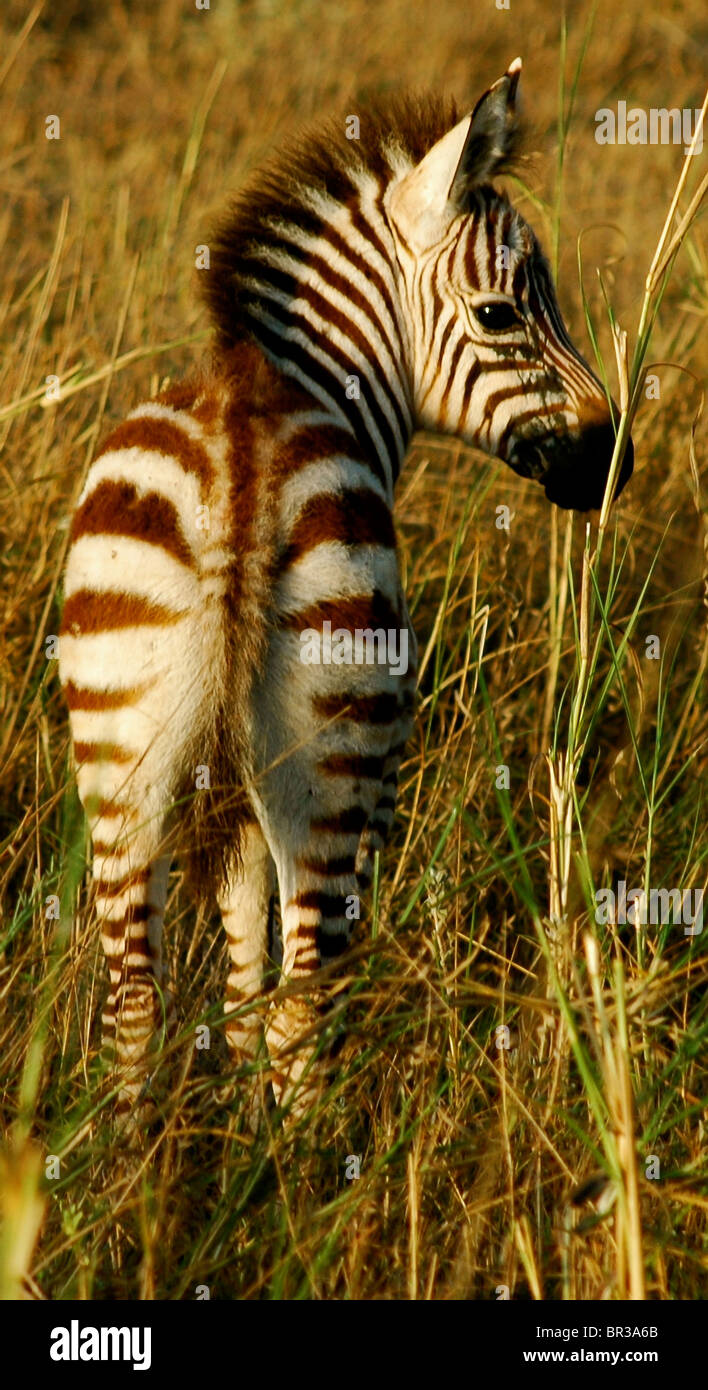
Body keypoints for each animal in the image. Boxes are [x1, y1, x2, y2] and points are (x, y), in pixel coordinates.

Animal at [58, 58, 633, 1132]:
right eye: (501, 314)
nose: (610, 460)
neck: (288, 376)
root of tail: (238, 465)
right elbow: (273, 984)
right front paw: (260, 1120)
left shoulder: (228, 786)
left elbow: (241, 964)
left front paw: (236, 1098)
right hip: (333, 764)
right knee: (307, 998)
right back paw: (306, 1165)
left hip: (119, 750)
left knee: (134, 1006)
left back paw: (137, 1177)